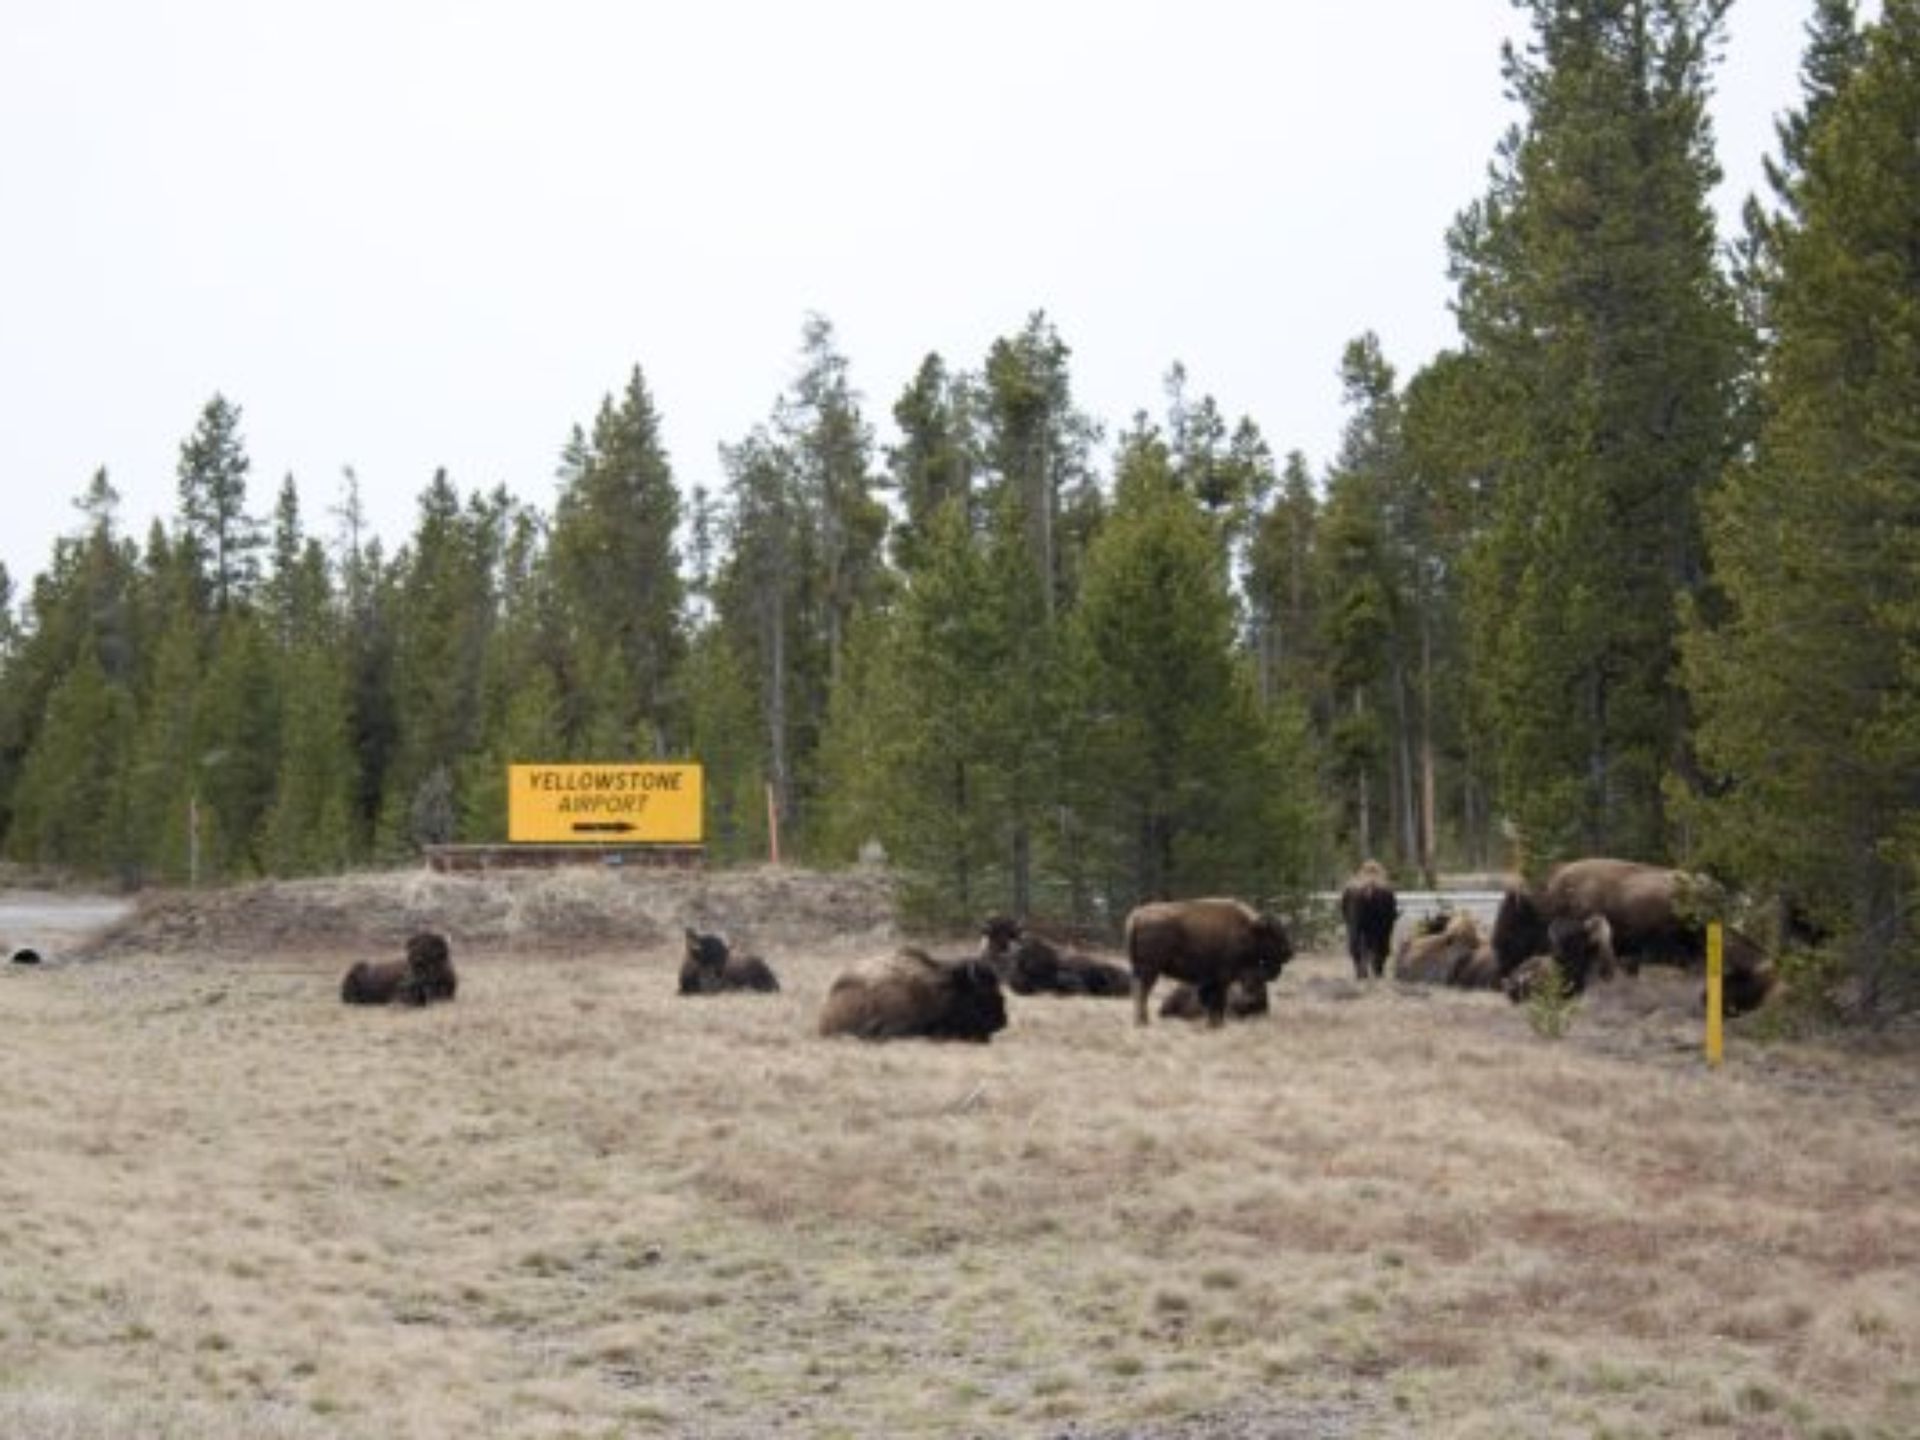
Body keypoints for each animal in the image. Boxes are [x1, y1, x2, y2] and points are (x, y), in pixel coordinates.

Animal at [1125, 898, 1293, 1028]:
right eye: (1273, 933)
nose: (1288, 952)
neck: (1249, 928)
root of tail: (1136, 918)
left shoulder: (1212, 979)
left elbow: (1212, 1001)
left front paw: (1213, 1023)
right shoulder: (1223, 977)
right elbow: (1218, 1001)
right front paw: (1217, 1024)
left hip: (1140, 969)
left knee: (1139, 992)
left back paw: (1140, 1021)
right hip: (1149, 970)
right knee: (1142, 993)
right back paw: (1143, 1022)